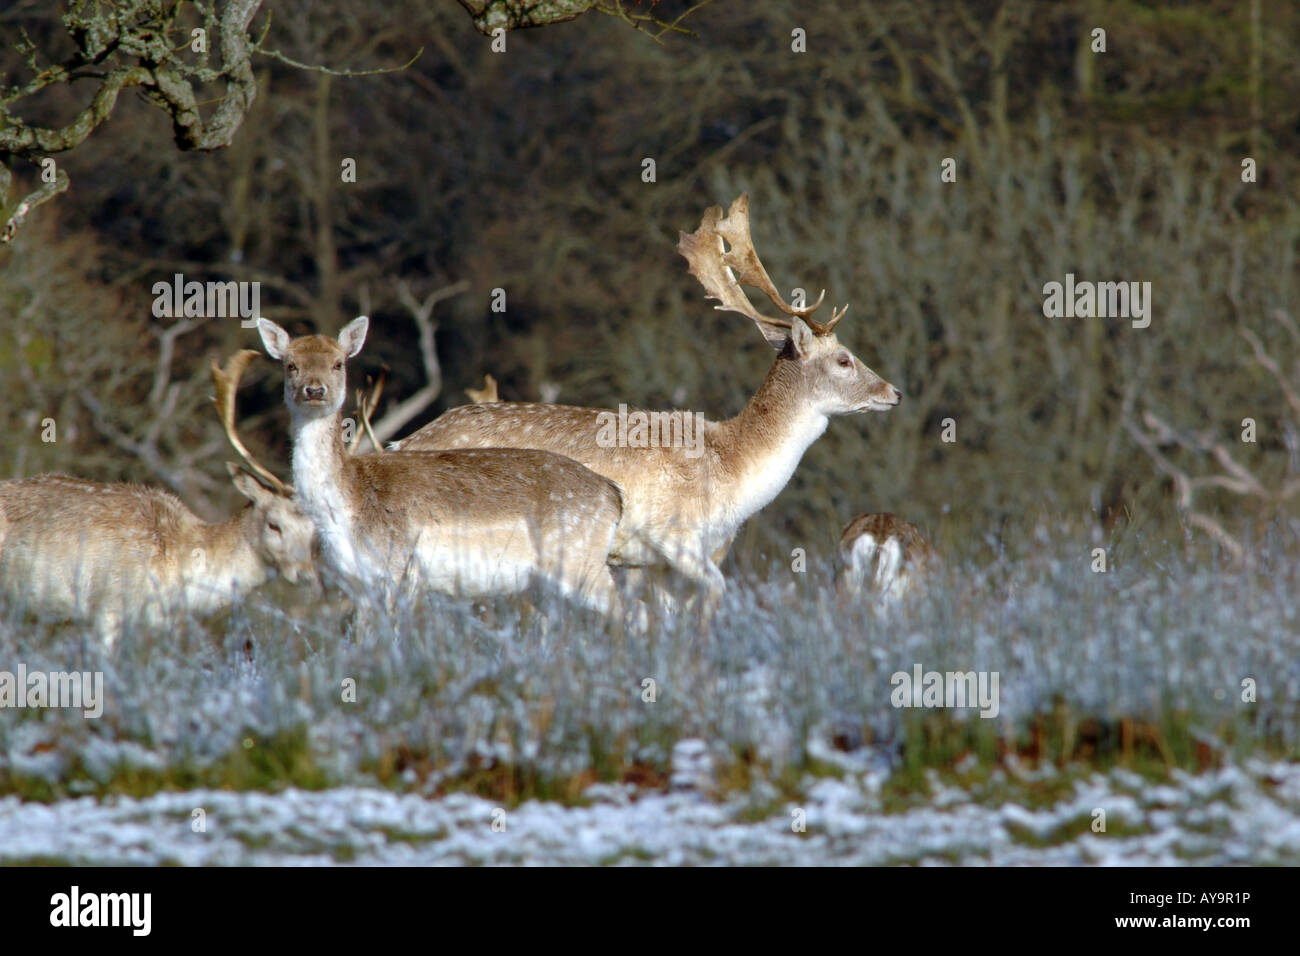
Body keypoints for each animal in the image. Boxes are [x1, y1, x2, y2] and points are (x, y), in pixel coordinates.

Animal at [253, 316, 630, 619]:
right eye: (290, 364)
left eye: (338, 363)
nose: (314, 390)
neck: (347, 504)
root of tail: (613, 495)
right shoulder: (357, 586)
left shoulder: (396, 569)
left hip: (580, 561)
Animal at [389, 195, 901, 618]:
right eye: (844, 359)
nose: (893, 391)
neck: (732, 473)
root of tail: (400, 444)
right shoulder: (675, 537)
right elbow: (715, 596)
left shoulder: (657, 564)